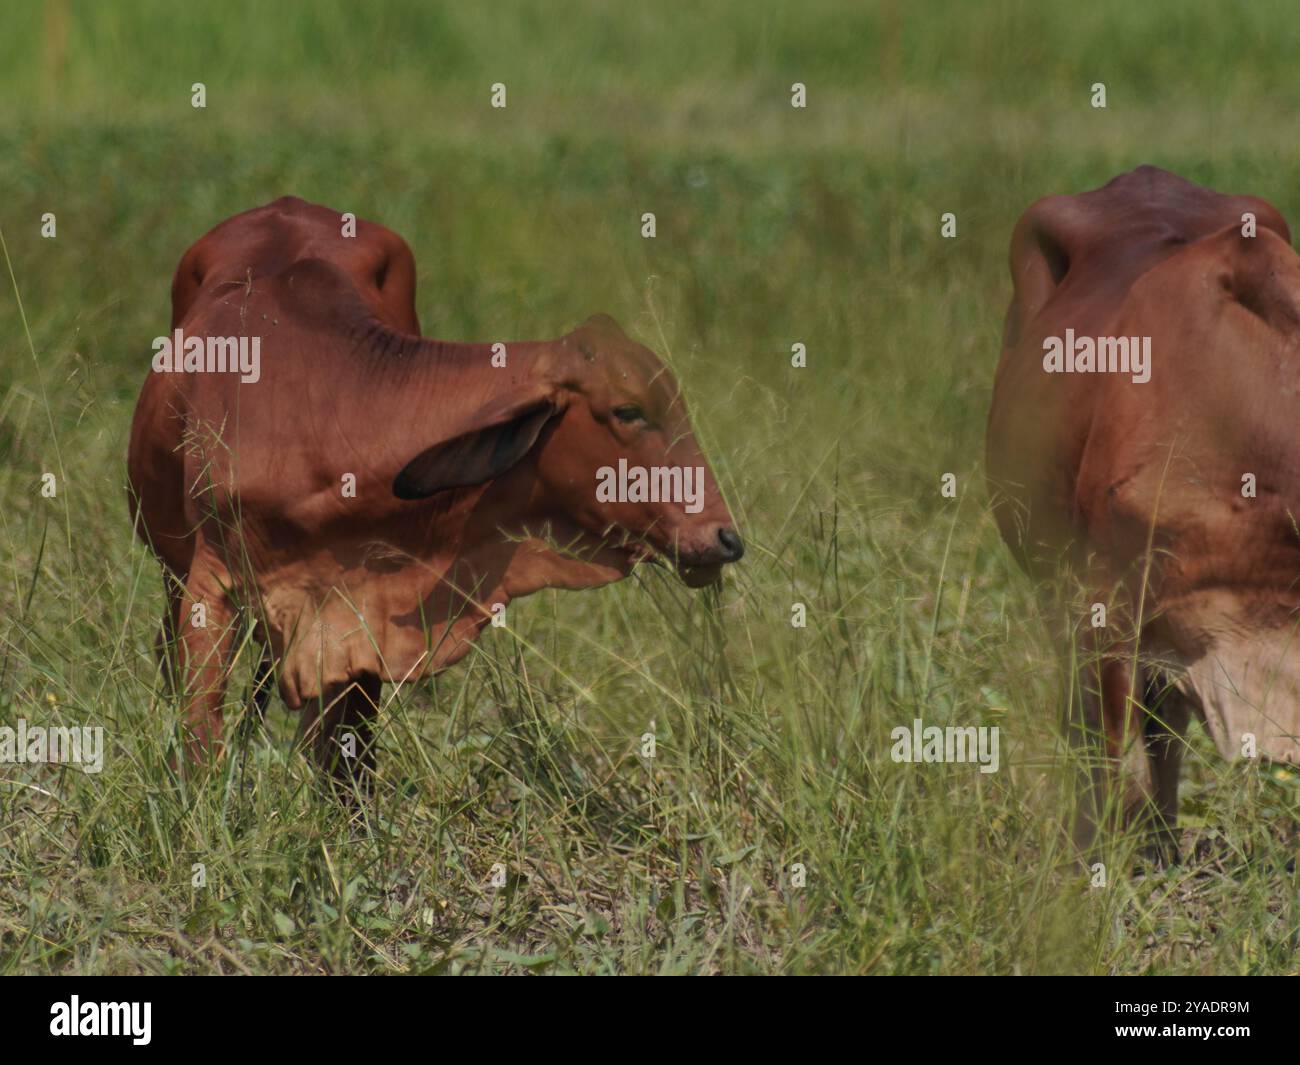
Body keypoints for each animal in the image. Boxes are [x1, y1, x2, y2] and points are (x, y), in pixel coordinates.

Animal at [127, 197, 743, 789]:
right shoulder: (211, 587)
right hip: (173, 574)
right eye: (628, 410)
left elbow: (344, 760)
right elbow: (202, 736)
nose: (724, 538)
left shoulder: (363, 626)